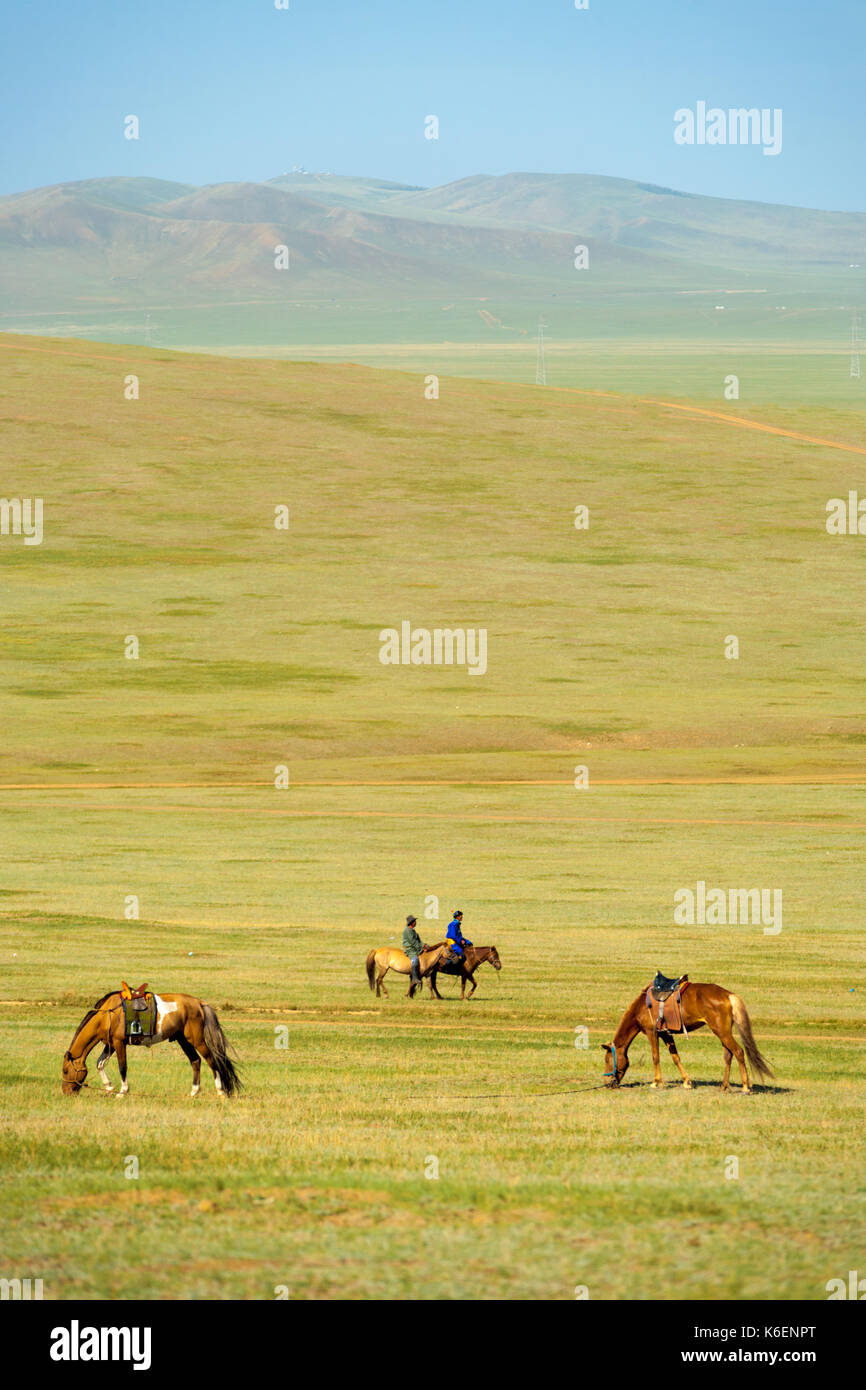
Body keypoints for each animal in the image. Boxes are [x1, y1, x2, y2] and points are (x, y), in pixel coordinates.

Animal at [61, 989, 241, 1098]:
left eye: (65, 1071)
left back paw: (220, 1091)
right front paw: (109, 1087)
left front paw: (122, 1092)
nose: (66, 1092)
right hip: (183, 1039)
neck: (107, 1015)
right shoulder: (110, 1044)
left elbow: (122, 1067)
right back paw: (193, 1092)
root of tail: (199, 1003)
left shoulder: (119, 1043)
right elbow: (100, 1063)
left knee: (211, 1060)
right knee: (195, 1061)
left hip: (196, 1039)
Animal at [602, 981, 774, 1092]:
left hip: (721, 1031)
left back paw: (745, 1087)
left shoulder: (652, 1032)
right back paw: (724, 1086)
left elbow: (655, 1057)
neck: (642, 1007)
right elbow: (675, 1057)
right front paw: (687, 1082)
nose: (607, 1083)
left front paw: (656, 1083)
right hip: (723, 1032)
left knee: (738, 1052)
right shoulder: (665, 1034)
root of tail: (728, 995)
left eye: (607, 1060)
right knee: (728, 1055)